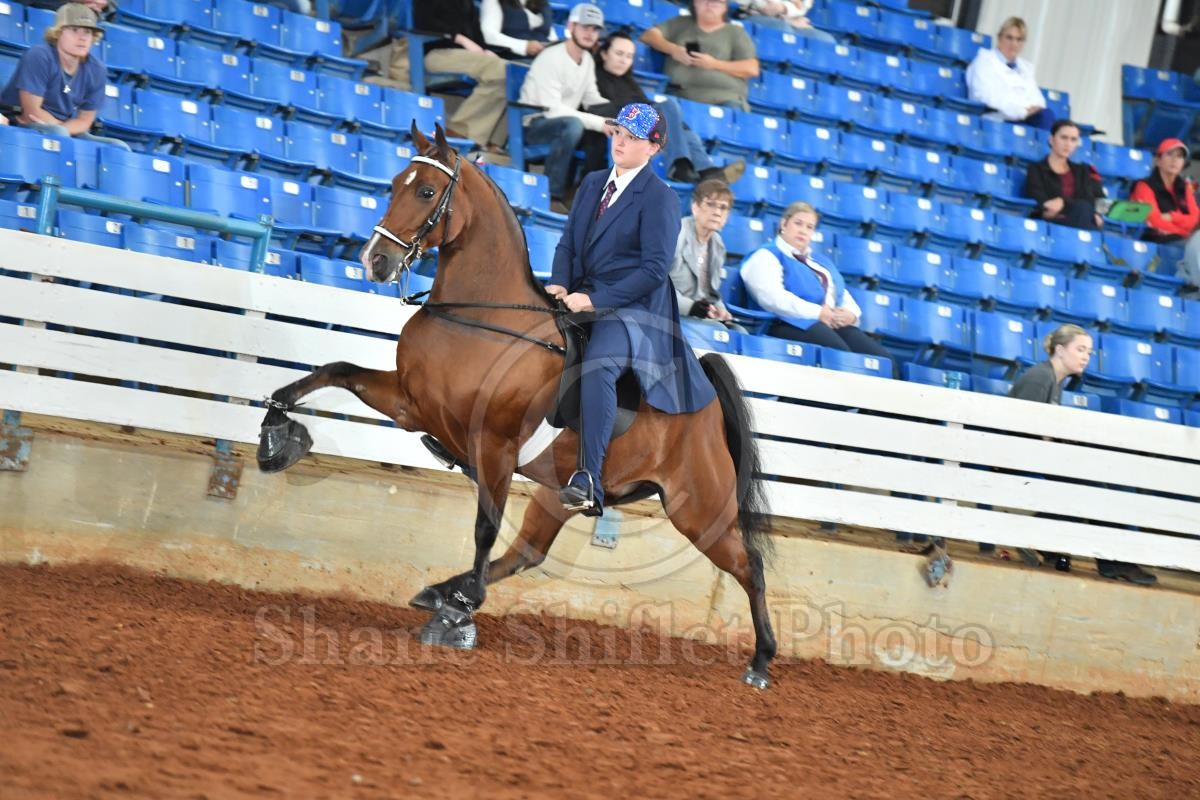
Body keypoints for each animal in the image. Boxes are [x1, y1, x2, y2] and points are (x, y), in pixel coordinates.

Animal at [256, 124, 778, 688]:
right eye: (395, 183)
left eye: (426, 192)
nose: (375, 260)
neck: (477, 315)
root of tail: (703, 393)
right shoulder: (412, 405)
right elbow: (334, 370)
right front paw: (277, 435)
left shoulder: (495, 445)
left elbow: (485, 525)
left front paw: (458, 621)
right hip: (558, 491)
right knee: (528, 552)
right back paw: (447, 590)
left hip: (697, 508)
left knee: (749, 566)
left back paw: (761, 661)